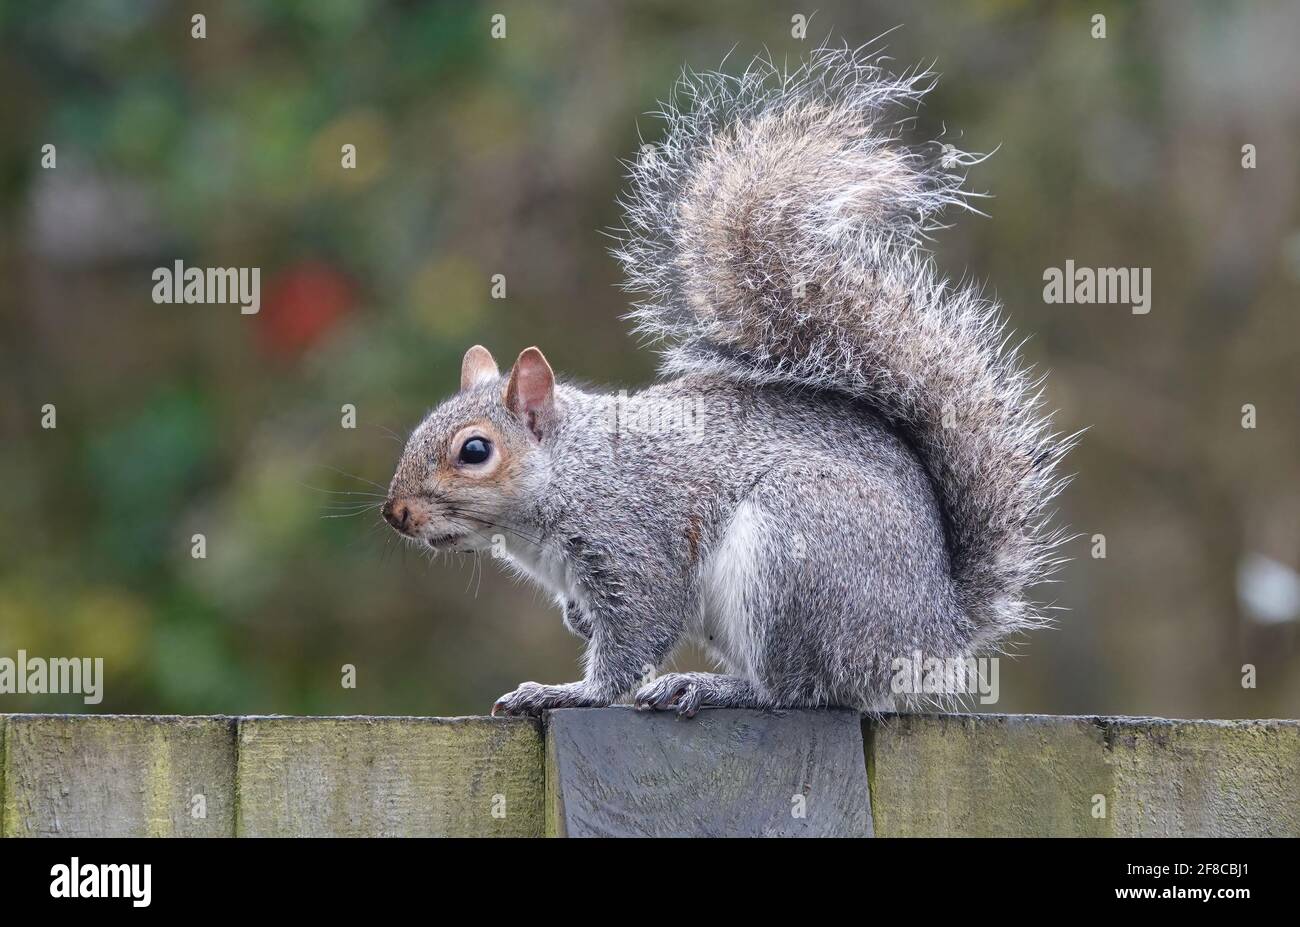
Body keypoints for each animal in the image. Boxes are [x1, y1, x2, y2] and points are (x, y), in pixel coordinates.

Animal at [383, 46, 1075, 718]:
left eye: (475, 451)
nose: (396, 513)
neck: (570, 472)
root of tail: (933, 634)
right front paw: (575, 625)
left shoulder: (635, 540)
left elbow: (635, 636)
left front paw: (570, 692)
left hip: (795, 558)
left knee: (803, 691)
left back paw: (717, 688)